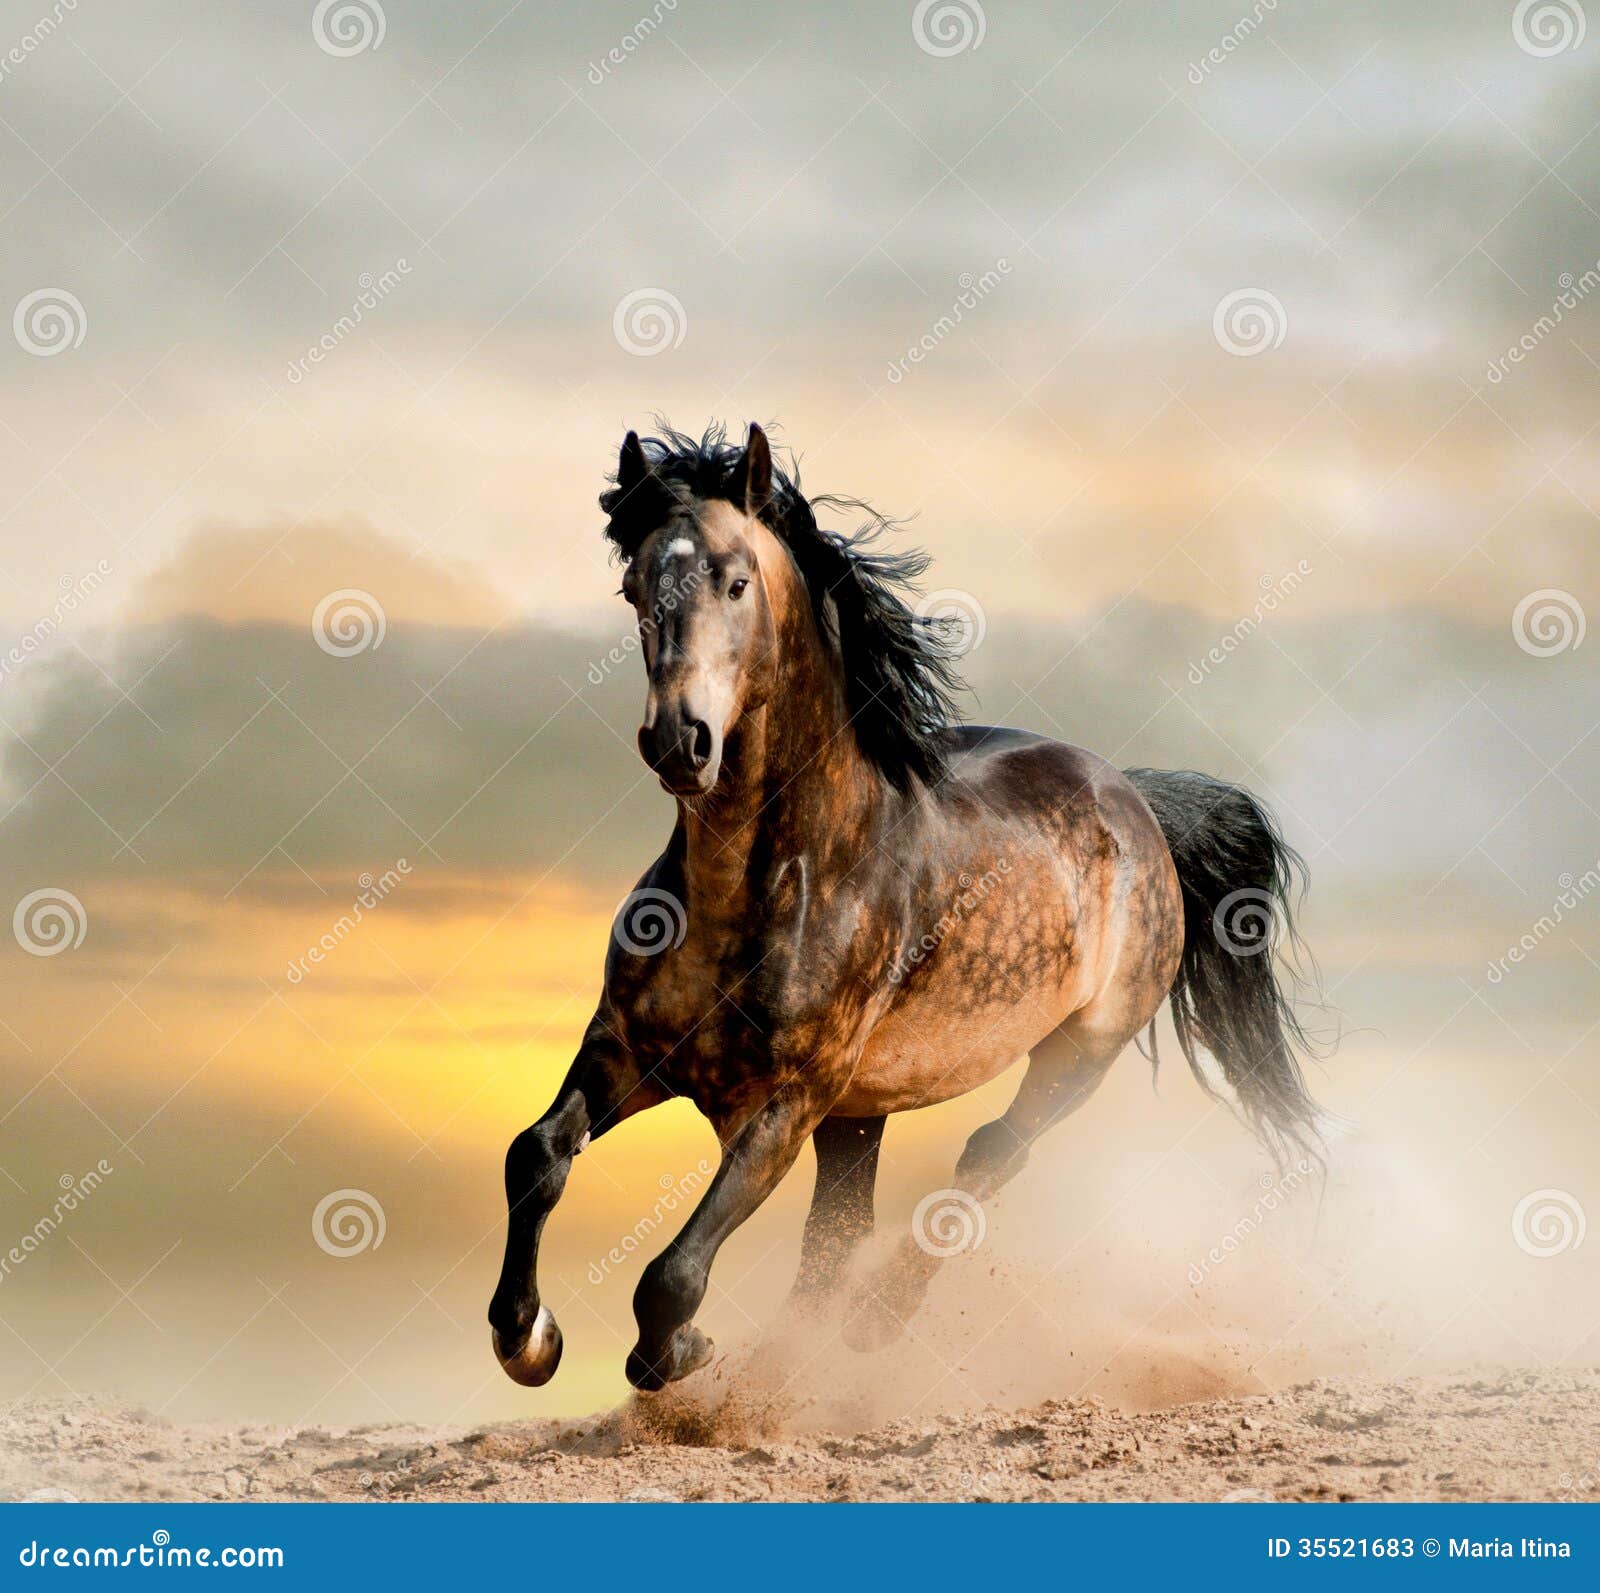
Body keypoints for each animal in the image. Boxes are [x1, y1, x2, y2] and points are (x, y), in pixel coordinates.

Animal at [488, 422, 1325, 1392]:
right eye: (633, 589)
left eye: (736, 581)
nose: (678, 741)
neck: (768, 884)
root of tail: (1137, 799)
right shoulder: (630, 1049)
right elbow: (536, 1154)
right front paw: (528, 1337)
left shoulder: (788, 1101)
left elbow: (672, 1276)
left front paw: (683, 1352)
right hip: (862, 1112)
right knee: (841, 1229)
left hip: (1079, 1053)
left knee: (989, 1155)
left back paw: (874, 1324)